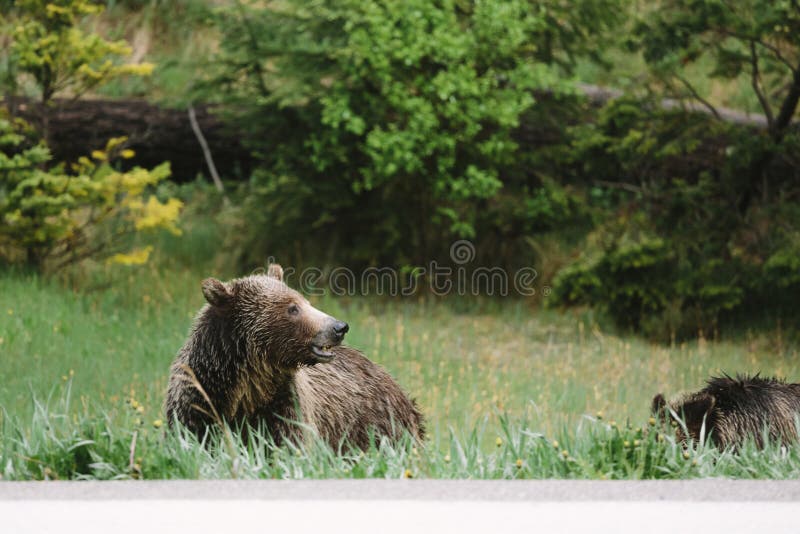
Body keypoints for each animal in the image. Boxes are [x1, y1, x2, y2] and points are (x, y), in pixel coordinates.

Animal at [165, 264, 424, 450]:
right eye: (293, 308)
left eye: (305, 301)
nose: (339, 327)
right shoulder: (199, 400)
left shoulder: (285, 404)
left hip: (378, 422)